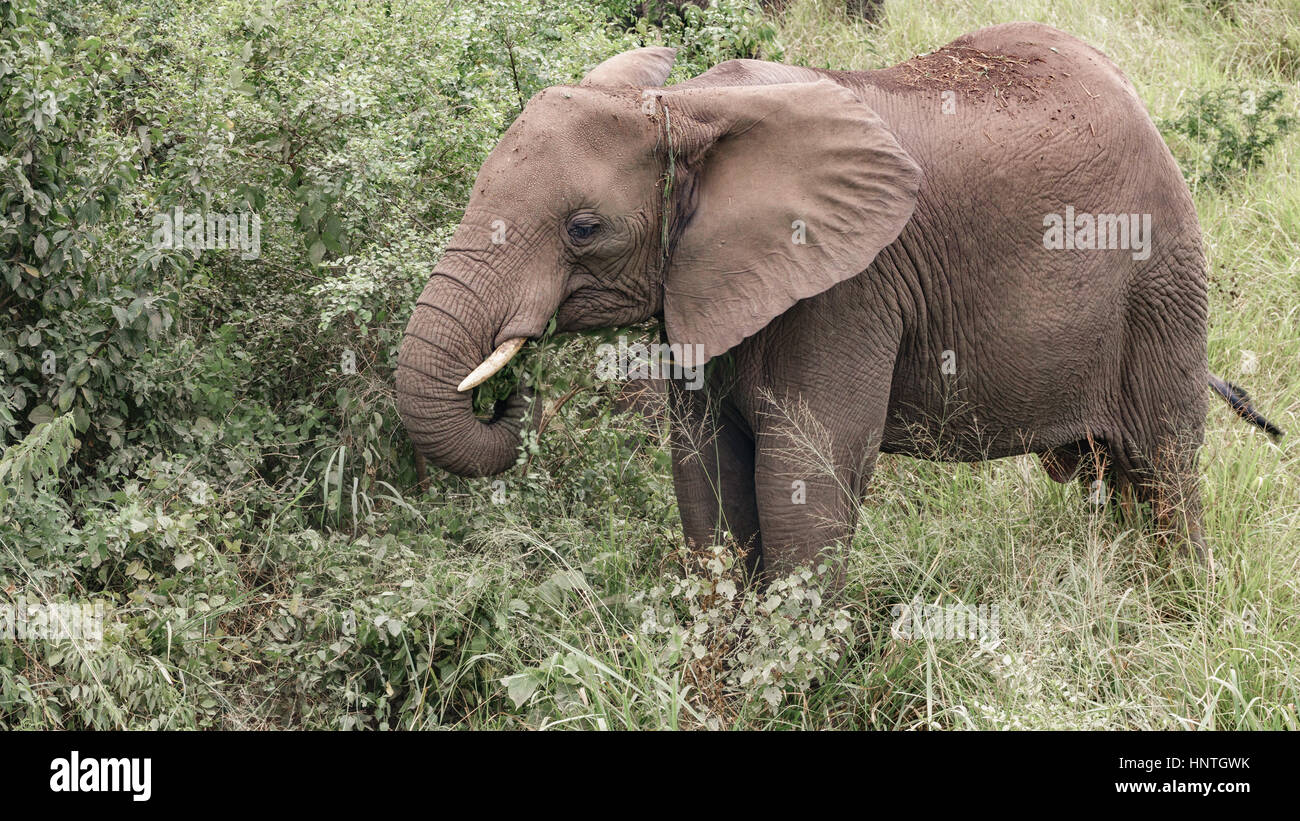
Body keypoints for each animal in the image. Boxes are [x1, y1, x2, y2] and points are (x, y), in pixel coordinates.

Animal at [396, 22, 1283, 583]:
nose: (510, 392)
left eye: (582, 228)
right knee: (1118, 478)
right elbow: (704, 480)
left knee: (1163, 467)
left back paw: (1179, 609)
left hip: (1160, 281)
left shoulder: (846, 290)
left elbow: (806, 489)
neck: (687, 105)